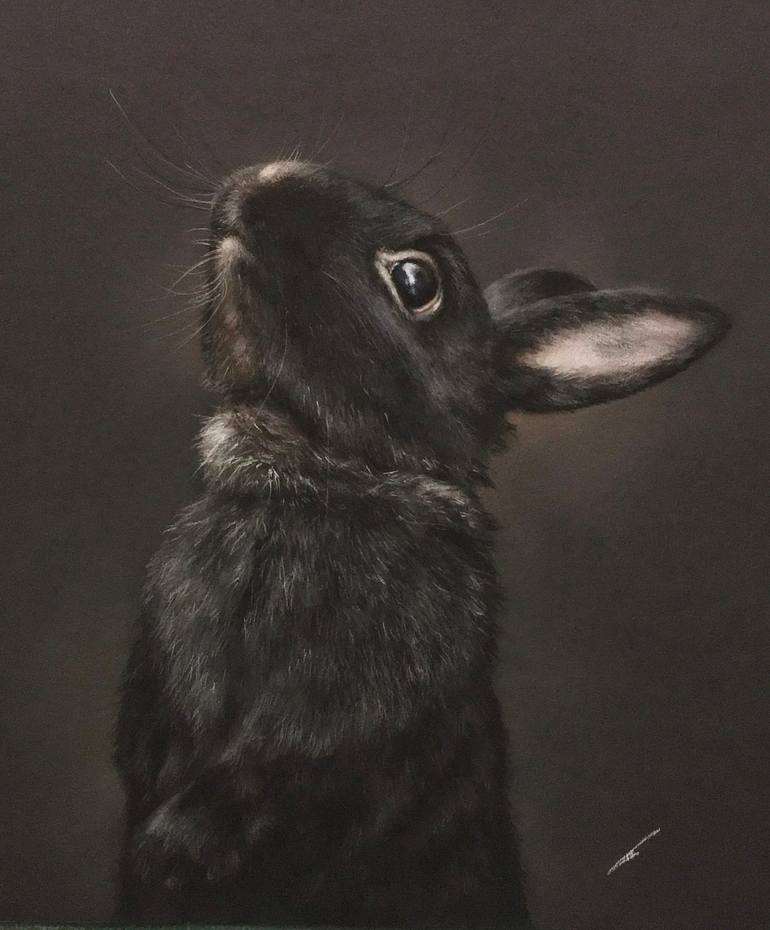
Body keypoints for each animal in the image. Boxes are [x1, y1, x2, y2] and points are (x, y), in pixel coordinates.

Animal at [114, 158, 729, 928]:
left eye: (417, 282)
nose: (264, 178)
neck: (317, 478)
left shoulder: (357, 714)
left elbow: (275, 771)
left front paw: (176, 846)